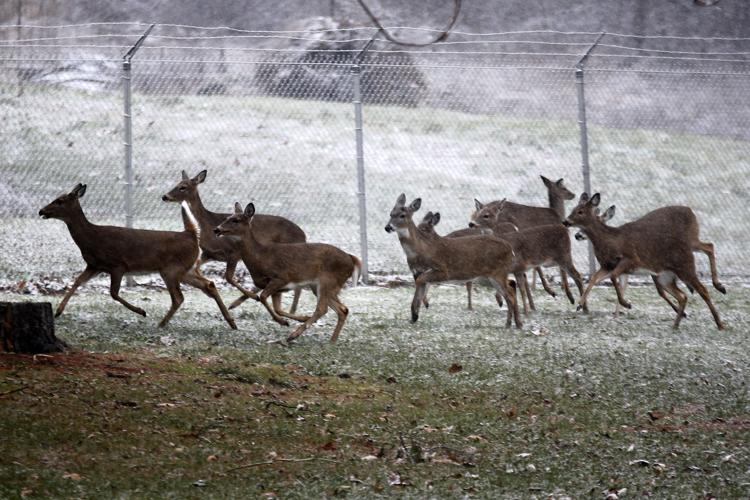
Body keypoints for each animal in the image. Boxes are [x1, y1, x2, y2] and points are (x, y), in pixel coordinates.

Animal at [39, 184, 236, 329]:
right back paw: (231, 322)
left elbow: (113, 293)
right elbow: (77, 282)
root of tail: (192, 234)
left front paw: (141, 311)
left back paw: (161, 323)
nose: (41, 211)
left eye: (59, 201)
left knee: (179, 297)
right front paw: (58, 311)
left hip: (171, 269)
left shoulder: (118, 265)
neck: (91, 238)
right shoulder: (94, 265)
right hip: (185, 269)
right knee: (209, 285)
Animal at [162, 169, 307, 316]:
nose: (165, 196)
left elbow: (229, 277)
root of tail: (303, 235)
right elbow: (198, 268)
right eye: (176, 184)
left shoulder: (233, 252)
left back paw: (290, 310)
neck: (206, 226)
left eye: (183, 187)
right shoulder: (208, 254)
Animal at [214, 202, 361, 343]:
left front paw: (283, 322)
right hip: (322, 286)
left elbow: (263, 297)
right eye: (226, 218)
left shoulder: (280, 278)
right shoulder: (276, 288)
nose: (217, 229)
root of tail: (351, 259)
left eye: (236, 220)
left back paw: (293, 336)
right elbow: (277, 307)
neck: (261, 256)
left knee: (322, 309)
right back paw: (332, 341)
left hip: (328, 281)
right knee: (343, 309)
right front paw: (294, 319)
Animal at [385, 194, 521, 329]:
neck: (421, 250)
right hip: (489, 276)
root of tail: (511, 250)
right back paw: (511, 323)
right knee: (510, 287)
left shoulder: (443, 270)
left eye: (402, 215)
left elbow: (420, 282)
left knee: (510, 294)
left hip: (498, 272)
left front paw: (415, 314)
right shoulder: (417, 272)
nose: (387, 227)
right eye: (391, 214)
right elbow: (420, 288)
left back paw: (516, 324)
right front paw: (414, 317)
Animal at [564, 192, 725, 330]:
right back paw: (676, 324)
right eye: (573, 209)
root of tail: (690, 210)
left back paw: (720, 319)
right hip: (665, 276)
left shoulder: (632, 259)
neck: (612, 240)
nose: (566, 221)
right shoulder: (608, 265)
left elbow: (613, 278)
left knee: (704, 282)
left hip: (686, 263)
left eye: (580, 211)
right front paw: (580, 305)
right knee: (683, 295)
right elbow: (594, 278)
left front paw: (626, 304)